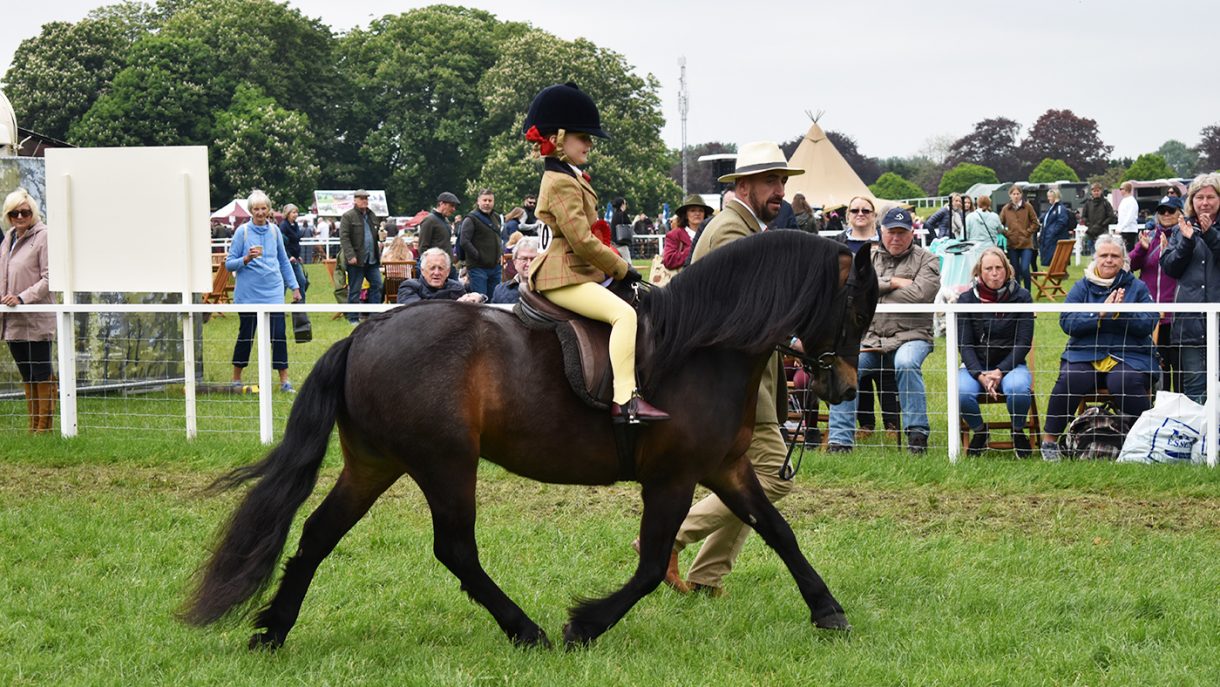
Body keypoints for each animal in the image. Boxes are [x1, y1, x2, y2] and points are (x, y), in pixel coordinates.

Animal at [180, 230, 879, 649]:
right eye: (853, 306)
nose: (844, 386)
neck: (703, 349)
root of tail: (363, 335)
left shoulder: (727, 468)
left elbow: (778, 532)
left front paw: (828, 611)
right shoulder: (673, 477)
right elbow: (651, 564)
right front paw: (585, 625)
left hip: (374, 465)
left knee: (319, 533)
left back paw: (272, 631)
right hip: (445, 464)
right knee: (456, 549)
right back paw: (528, 631)